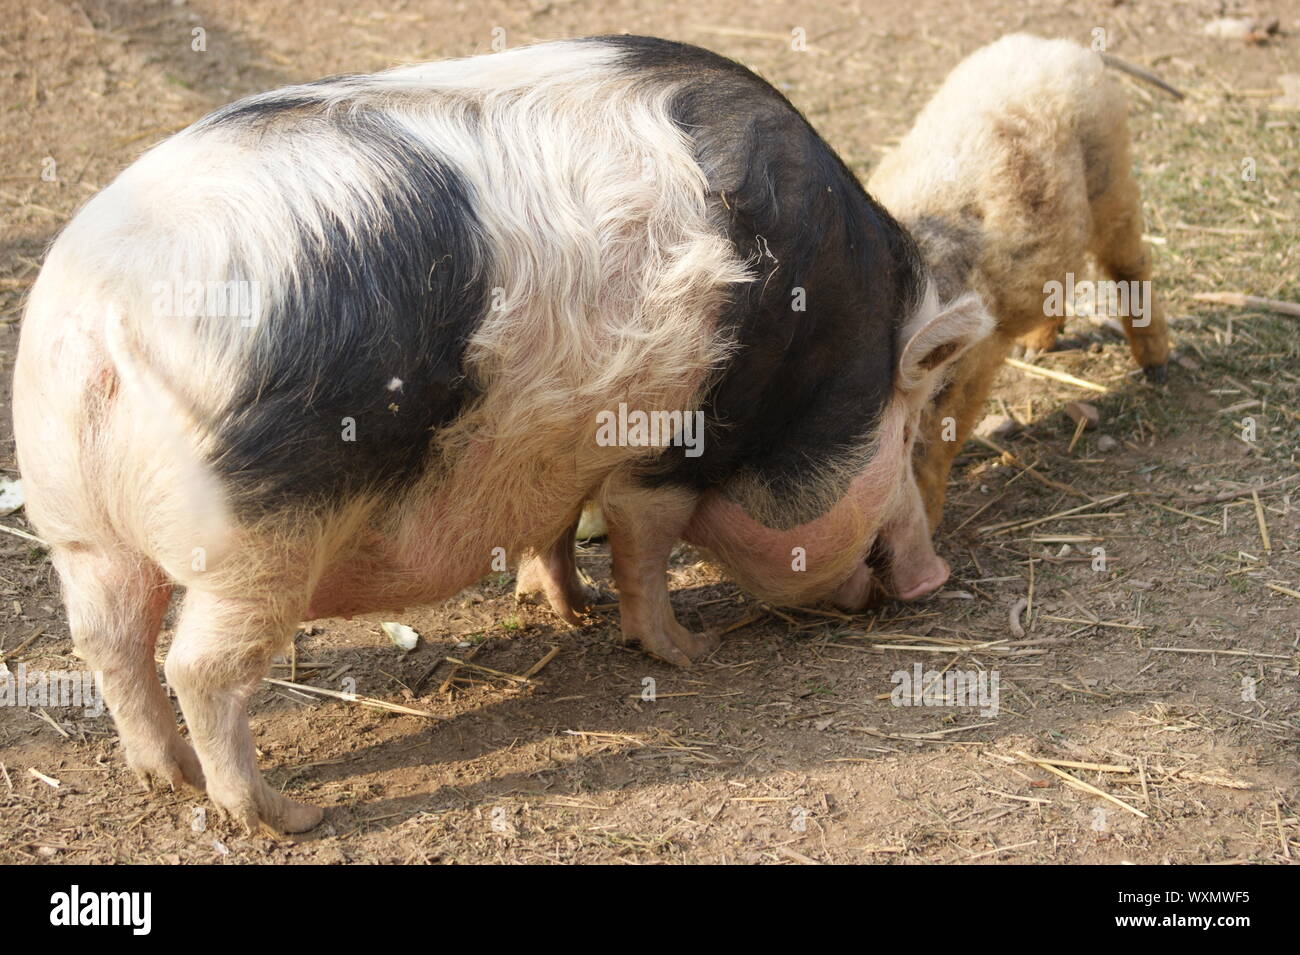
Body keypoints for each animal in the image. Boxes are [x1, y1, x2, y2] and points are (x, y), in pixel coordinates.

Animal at [13, 36, 991, 832]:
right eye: (903, 427)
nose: (935, 574)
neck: (816, 352)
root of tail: (98, 319)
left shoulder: (557, 455)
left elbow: (554, 526)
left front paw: (568, 606)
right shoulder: (679, 439)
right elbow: (642, 541)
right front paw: (686, 650)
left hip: (78, 527)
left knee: (108, 641)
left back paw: (165, 776)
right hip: (259, 534)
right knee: (200, 669)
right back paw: (284, 814)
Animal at [867, 34, 1172, 529]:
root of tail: (1063, 47)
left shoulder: (973, 362)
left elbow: (935, 443)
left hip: (1112, 174)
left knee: (1130, 264)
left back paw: (1157, 371)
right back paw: (1035, 351)